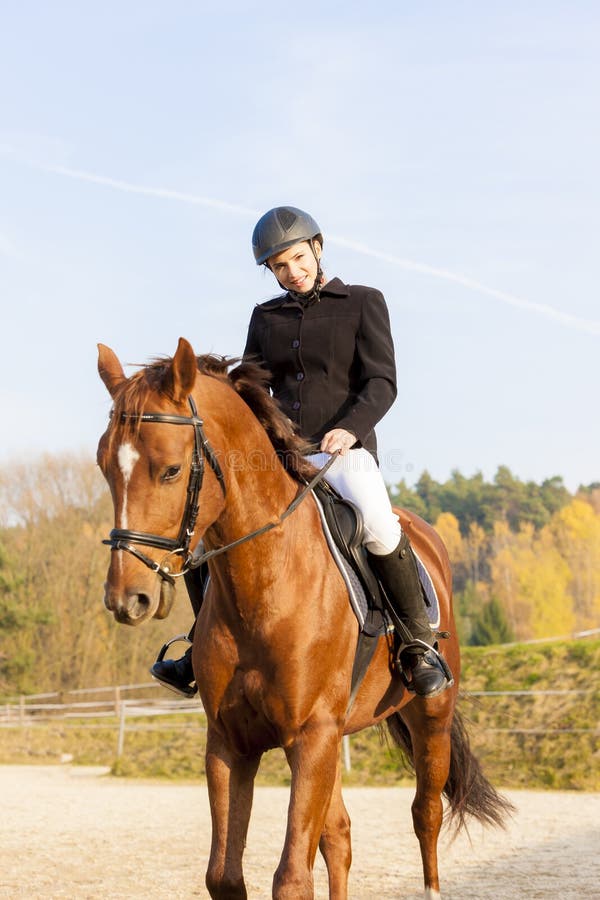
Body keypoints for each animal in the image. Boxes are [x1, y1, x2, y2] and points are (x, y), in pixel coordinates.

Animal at [97, 337, 511, 899]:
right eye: (105, 468)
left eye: (170, 470)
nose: (127, 597)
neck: (266, 584)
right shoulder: (231, 742)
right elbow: (225, 875)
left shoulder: (311, 736)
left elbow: (292, 878)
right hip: (334, 739)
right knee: (339, 835)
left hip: (431, 716)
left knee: (425, 813)